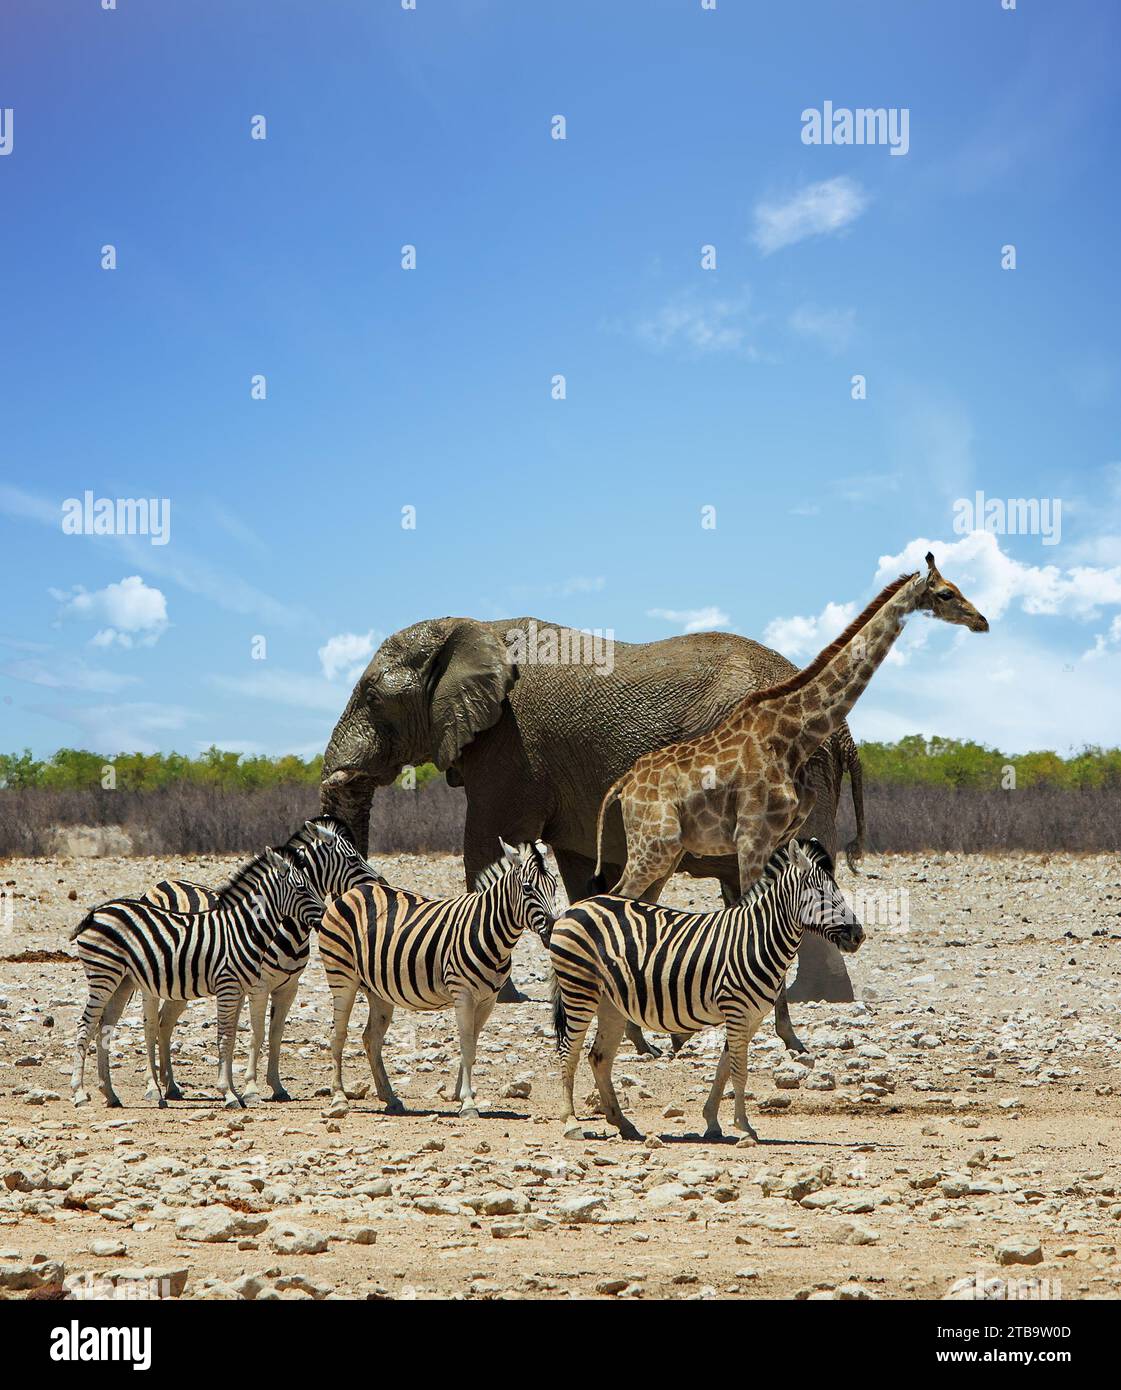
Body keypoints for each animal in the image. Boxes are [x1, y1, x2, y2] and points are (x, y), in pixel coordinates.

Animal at [139, 816, 383, 1103]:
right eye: (353, 858)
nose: (381, 883)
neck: (284, 927)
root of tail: (160, 884)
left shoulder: (288, 987)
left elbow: (275, 1034)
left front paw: (275, 1086)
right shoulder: (259, 986)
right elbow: (257, 1033)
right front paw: (251, 1088)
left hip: (178, 985)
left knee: (165, 1023)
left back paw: (170, 1085)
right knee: (151, 1025)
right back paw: (153, 1087)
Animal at [318, 839, 557, 1118]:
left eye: (554, 886)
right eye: (528, 889)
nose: (553, 930)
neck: (489, 932)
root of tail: (354, 891)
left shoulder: (488, 1000)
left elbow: (472, 1045)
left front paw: (459, 1095)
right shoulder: (463, 994)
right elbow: (467, 1047)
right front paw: (468, 1102)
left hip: (377, 989)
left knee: (371, 1038)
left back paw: (390, 1098)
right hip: (341, 976)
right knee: (338, 1034)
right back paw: (339, 1099)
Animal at [320, 616, 867, 1056]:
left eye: (372, 698)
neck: (469, 626)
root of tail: (846, 736)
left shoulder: (510, 747)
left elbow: (486, 842)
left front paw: (504, 992)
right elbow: (577, 866)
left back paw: (813, 997)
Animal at [549, 839, 864, 1143]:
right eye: (821, 893)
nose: (858, 934)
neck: (757, 938)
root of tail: (579, 905)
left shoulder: (752, 1017)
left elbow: (725, 1067)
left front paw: (713, 1122)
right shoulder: (736, 1009)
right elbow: (739, 1071)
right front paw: (744, 1128)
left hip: (610, 1002)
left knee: (599, 1057)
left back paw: (624, 1124)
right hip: (579, 989)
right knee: (568, 1052)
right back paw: (571, 1123)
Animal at [592, 553, 988, 901]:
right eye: (946, 593)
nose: (981, 621)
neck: (795, 735)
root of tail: (622, 785)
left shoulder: (784, 834)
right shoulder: (751, 835)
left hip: (669, 848)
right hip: (654, 844)